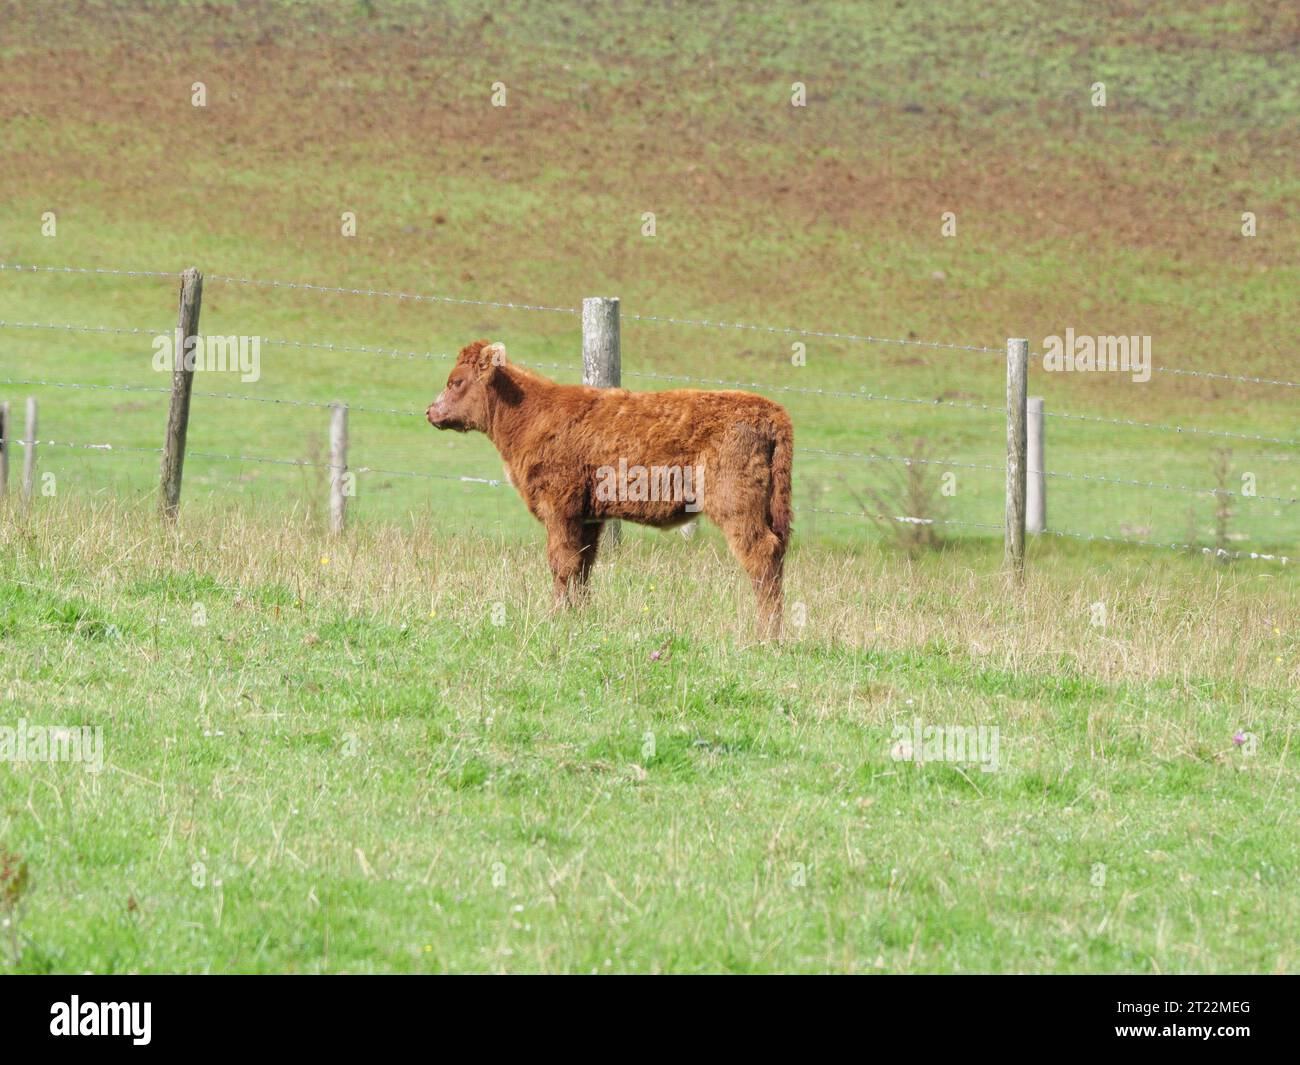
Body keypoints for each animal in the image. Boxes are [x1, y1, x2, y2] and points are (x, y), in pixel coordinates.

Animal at [427, 340, 793, 637]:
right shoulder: (588, 518)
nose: (430, 411)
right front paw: (579, 615)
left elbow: (561, 563)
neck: (530, 414)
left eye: (456, 381)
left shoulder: (559, 508)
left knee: (761, 555)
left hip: (737, 506)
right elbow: (583, 565)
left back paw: (765, 634)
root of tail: (771, 410)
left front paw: (555, 616)